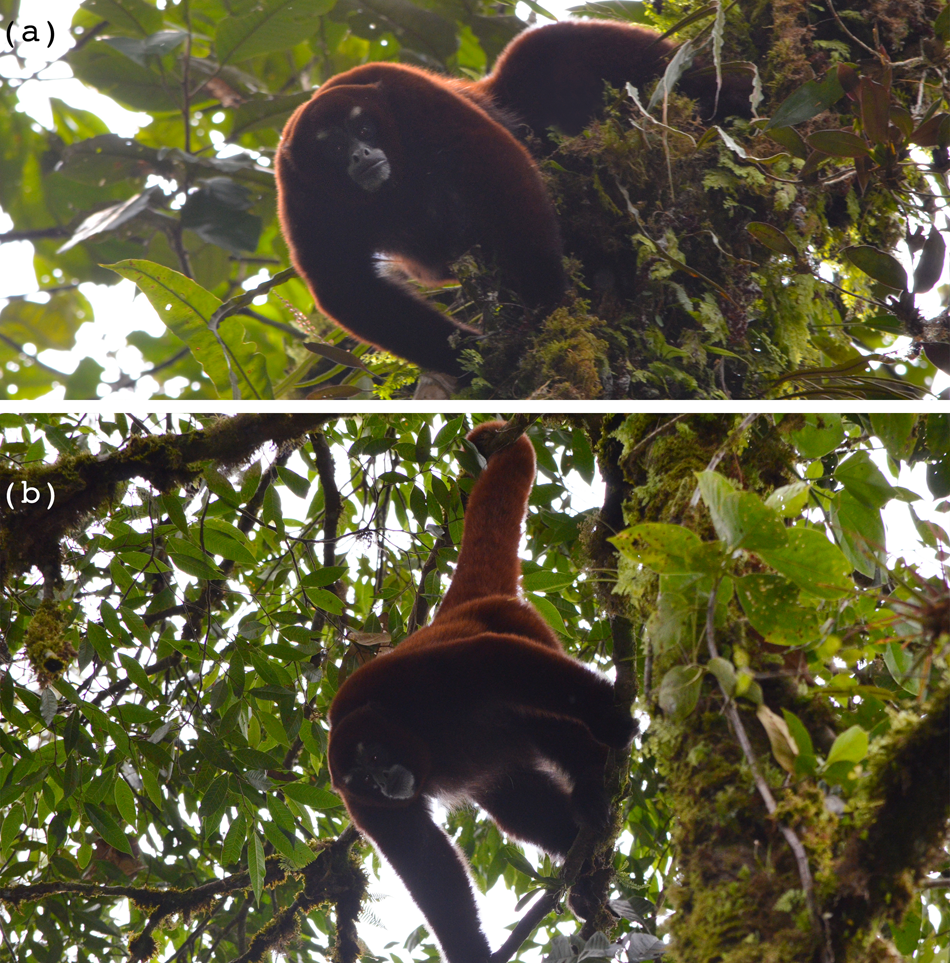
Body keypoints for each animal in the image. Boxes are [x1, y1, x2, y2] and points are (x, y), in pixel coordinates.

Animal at [275, 65, 566, 378]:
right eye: (337, 148)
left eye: (364, 131)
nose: (360, 154)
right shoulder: (298, 187)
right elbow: (343, 280)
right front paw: (464, 356)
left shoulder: (410, 94)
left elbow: (492, 162)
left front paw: (542, 298)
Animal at [327, 421, 636, 963]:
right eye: (363, 780)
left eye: (374, 758)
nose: (383, 784)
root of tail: (459, 607)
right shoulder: (363, 809)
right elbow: (429, 864)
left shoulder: (408, 685)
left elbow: (487, 663)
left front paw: (607, 717)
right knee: (514, 798)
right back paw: (587, 872)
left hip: (520, 624)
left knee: (538, 706)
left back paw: (592, 782)